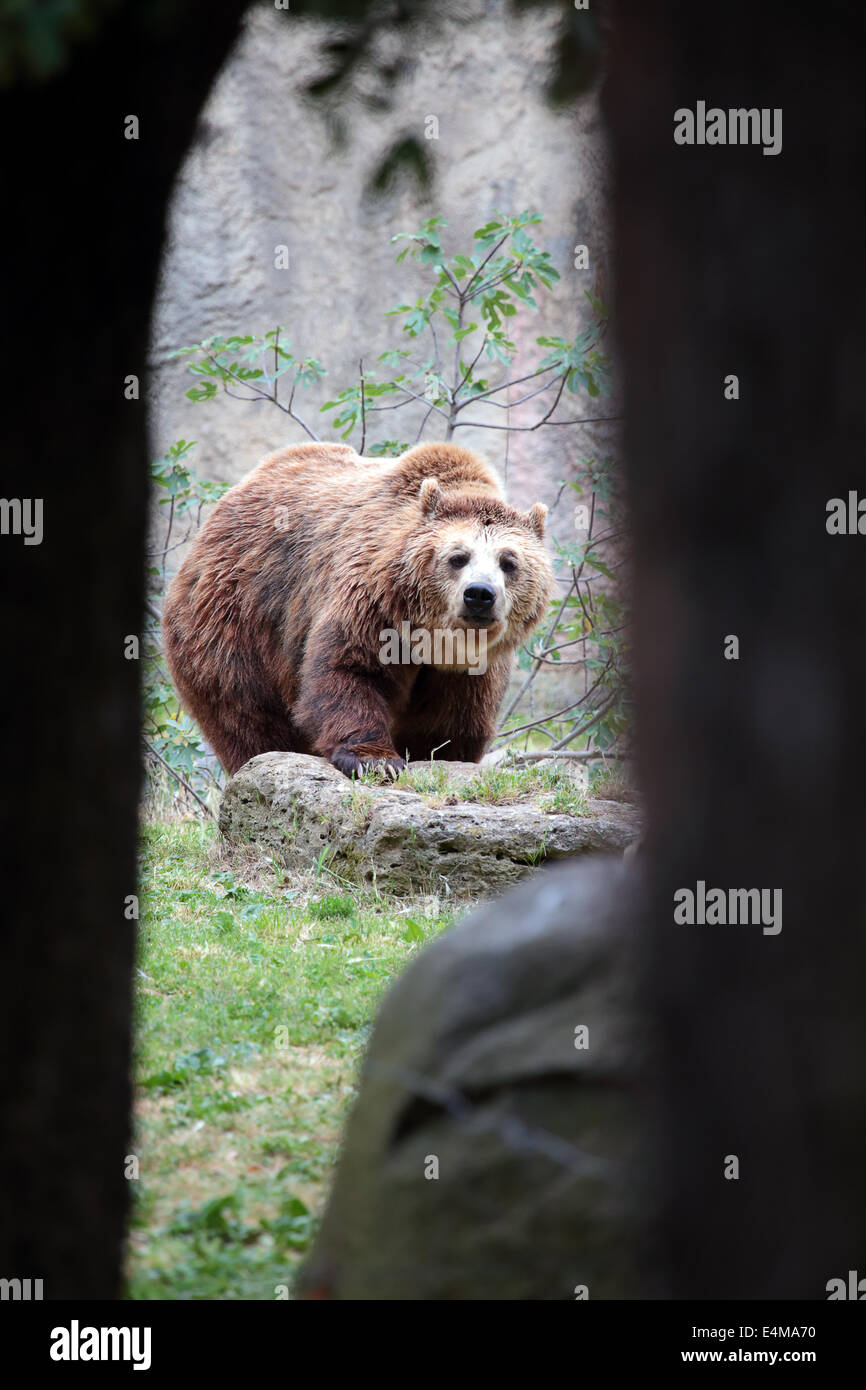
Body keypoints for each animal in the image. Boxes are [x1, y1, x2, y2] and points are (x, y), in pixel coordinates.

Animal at [162, 440, 556, 779]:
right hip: (237, 622)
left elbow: (451, 720)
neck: (434, 636)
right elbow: (350, 667)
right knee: (248, 714)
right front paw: (374, 759)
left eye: (509, 562)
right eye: (458, 557)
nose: (479, 594)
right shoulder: (372, 600)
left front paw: (437, 754)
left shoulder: (471, 669)